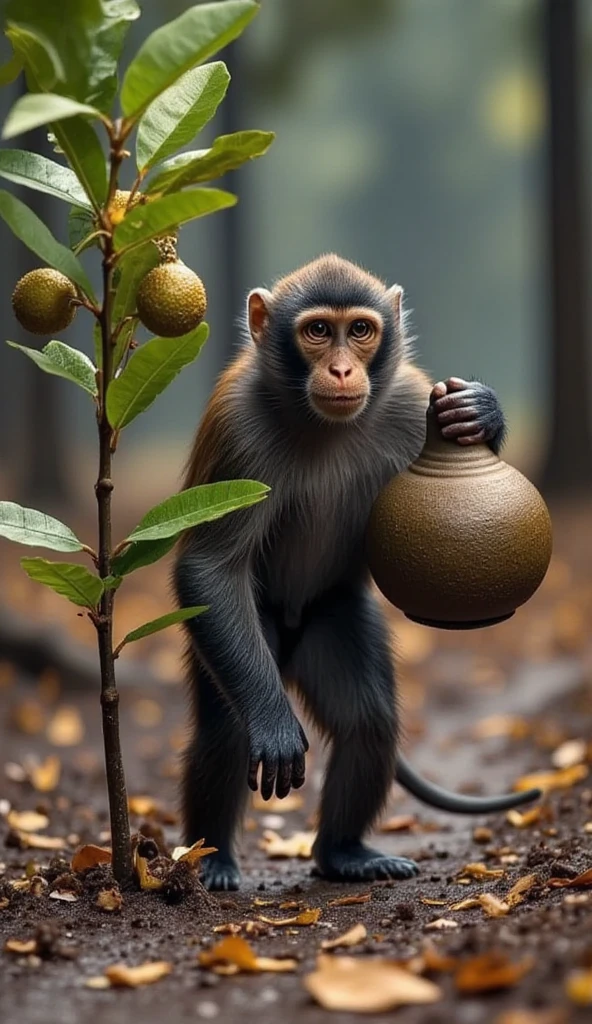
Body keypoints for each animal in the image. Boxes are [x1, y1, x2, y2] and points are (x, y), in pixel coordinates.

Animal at [173, 254, 540, 891]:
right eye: (319, 331)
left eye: (361, 330)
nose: (343, 369)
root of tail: (291, 630)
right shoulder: (238, 425)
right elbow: (209, 566)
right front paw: (274, 726)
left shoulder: (409, 398)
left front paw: (479, 412)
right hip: (242, 636)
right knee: (225, 732)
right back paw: (212, 857)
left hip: (333, 614)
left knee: (367, 719)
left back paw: (343, 852)